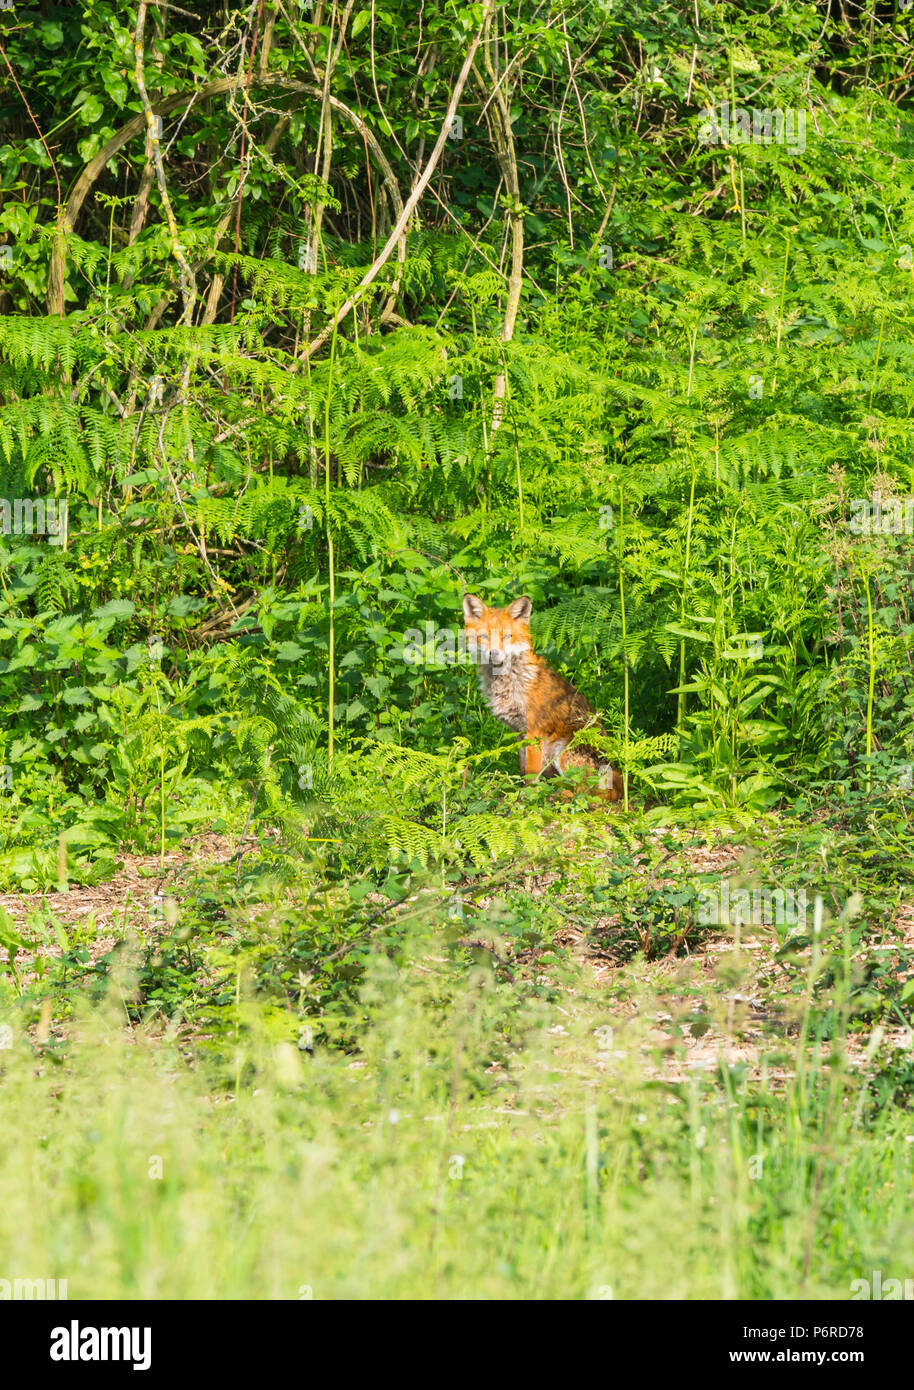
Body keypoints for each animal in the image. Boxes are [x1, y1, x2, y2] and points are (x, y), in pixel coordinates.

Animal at [462, 593, 624, 802]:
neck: (510, 683)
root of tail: (621, 779)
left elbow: (531, 774)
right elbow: (523, 771)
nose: (494, 654)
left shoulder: (534, 732)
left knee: (589, 792)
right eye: (483, 637)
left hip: (562, 750)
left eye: (507, 636)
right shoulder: (519, 732)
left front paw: (528, 799)